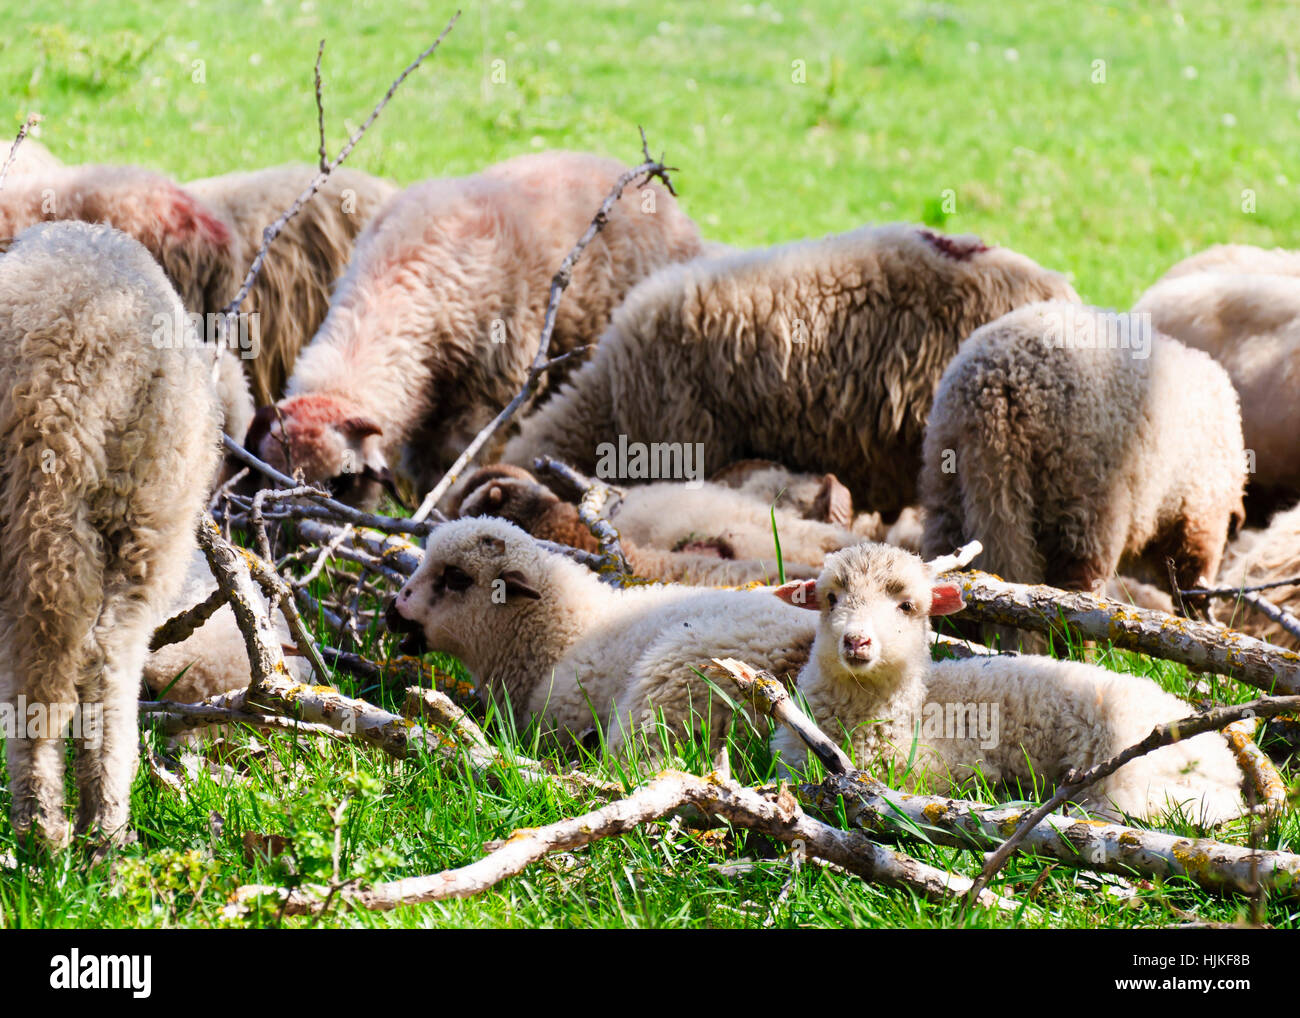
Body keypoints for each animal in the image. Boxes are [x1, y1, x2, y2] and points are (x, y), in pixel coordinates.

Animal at [0, 221, 221, 846]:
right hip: (150, 513)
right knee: (109, 664)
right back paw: (104, 828)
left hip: (42, 504)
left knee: (42, 666)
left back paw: (41, 830)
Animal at [919, 302, 1246, 601]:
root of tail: (997, 381)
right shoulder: (1200, 510)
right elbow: (1194, 570)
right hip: (1085, 505)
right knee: (1077, 588)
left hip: (950, 489)